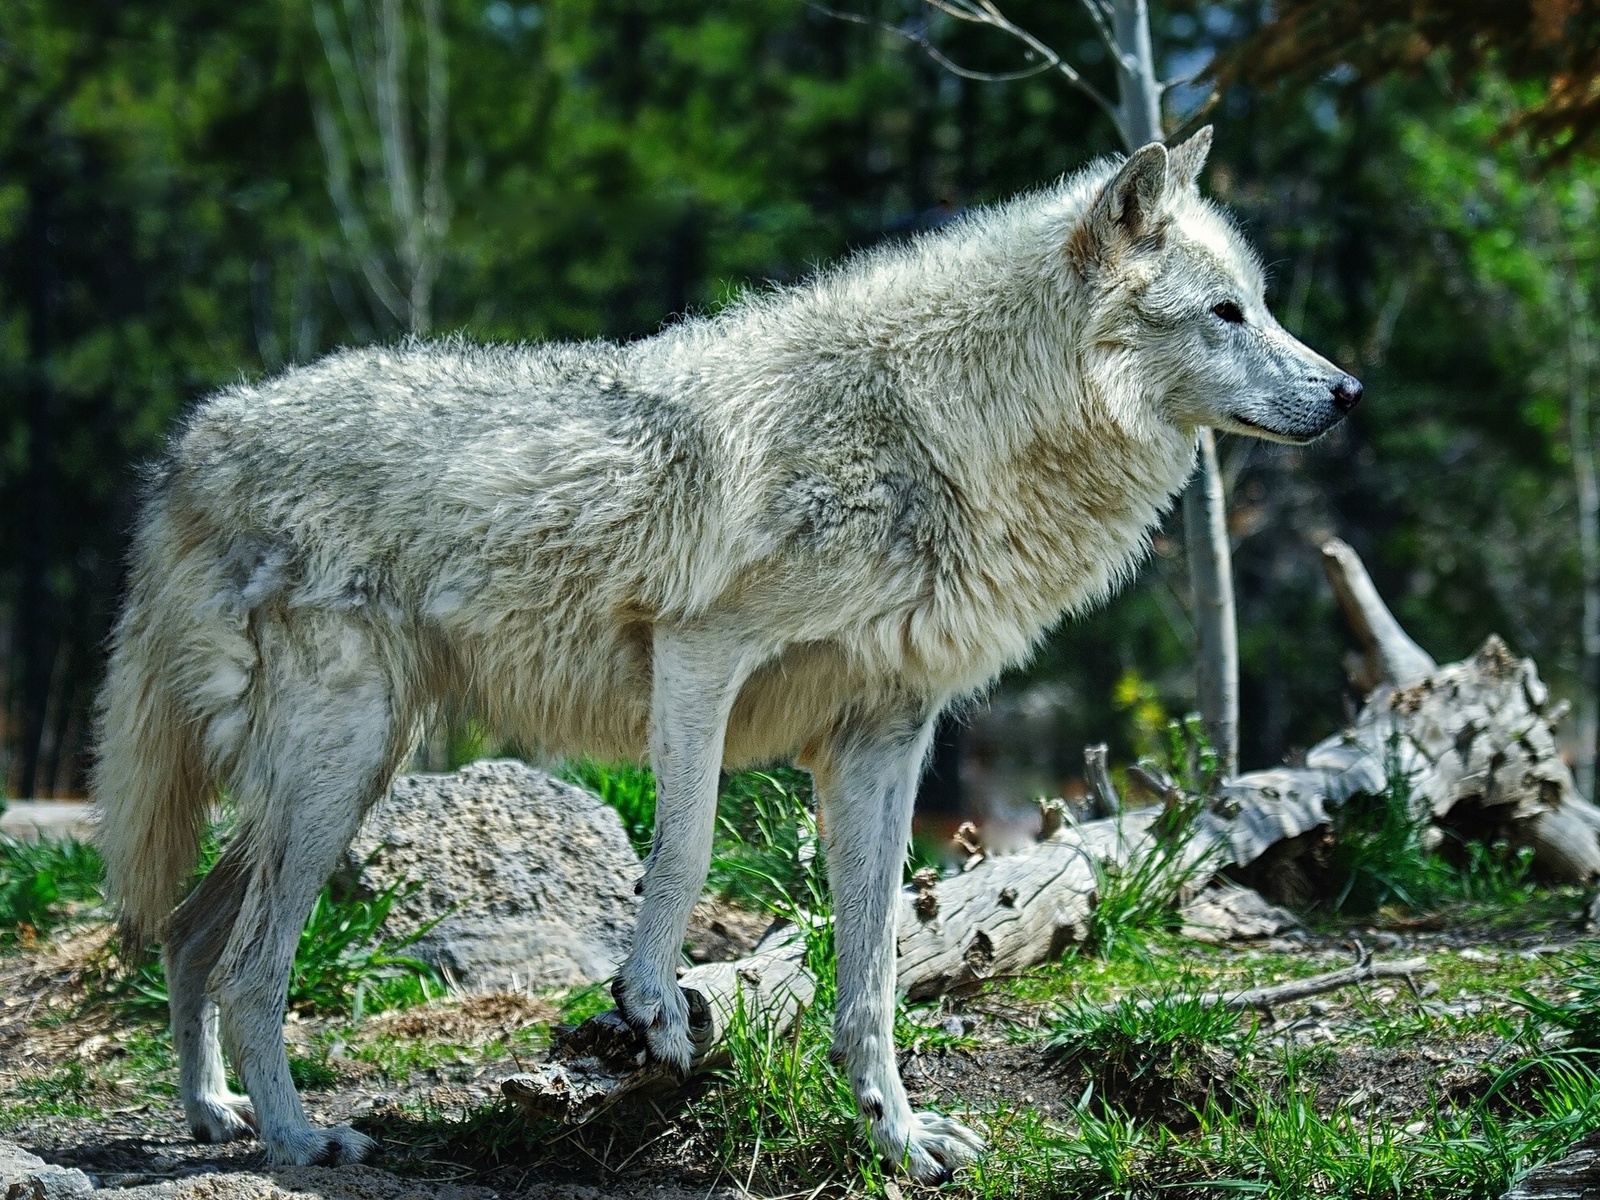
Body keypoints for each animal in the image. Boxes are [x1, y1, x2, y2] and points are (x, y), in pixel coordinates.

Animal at [93, 126, 1359, 1182]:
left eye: (1260, 305)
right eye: (1225, 313)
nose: (1348, 391)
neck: (937, 426)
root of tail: (192, 442)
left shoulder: (886, 738)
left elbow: (876, 964)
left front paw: (895, 1135)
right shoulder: (699, 654)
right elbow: (688, 850)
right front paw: (651, 1006)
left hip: (344, 774)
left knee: (193, 932)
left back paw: (214, 1114)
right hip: (340, 766)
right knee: (252, 963)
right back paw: (298, 1139)